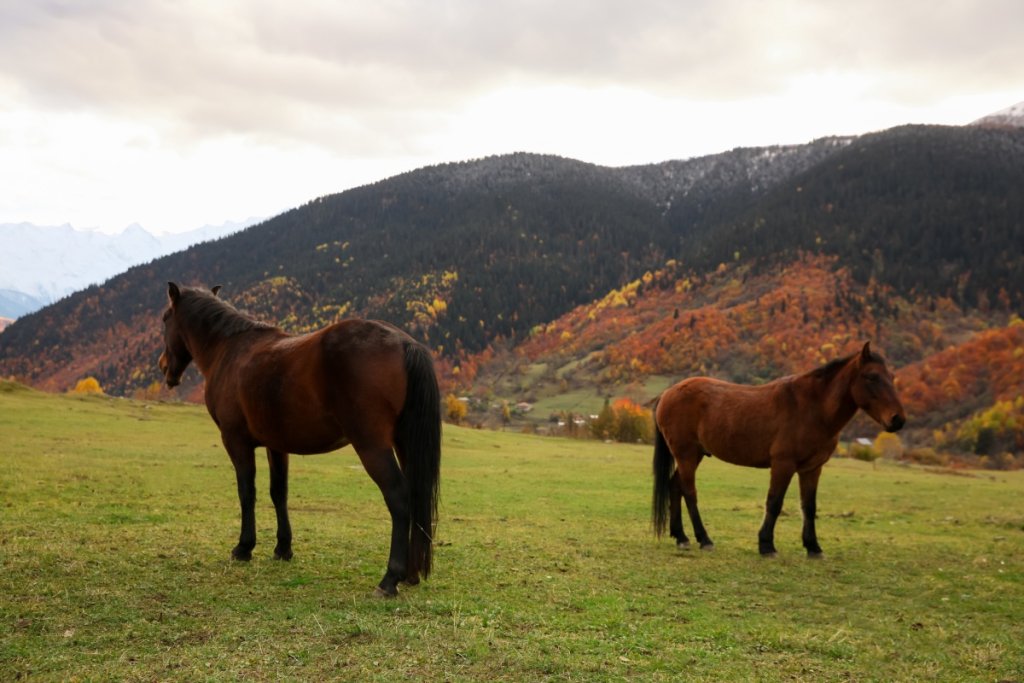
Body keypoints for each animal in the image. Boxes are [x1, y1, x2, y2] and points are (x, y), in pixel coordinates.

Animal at [158, 282, 441, 596]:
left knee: (399, 496)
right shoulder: (276, 446)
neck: (230, 349)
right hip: (403, 444)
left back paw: (390, 578)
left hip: (372, 446)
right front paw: (283, 548)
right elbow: (278, 492)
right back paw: (411, 574)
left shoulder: (235, 441)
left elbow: (247, 492)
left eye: (165, 319)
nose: (163, 367)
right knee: (415, 495)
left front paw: (244, 547)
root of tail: (404, 343)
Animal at [652, 342, 905, 557]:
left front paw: (813, 547)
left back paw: (681, 536)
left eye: (892, 377)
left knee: (675, 486)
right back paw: (704, 539)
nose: (898, 419)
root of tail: (668, 393)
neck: (812, 408)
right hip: (686, 455)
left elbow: (809, 506)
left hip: (693, 456)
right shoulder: (783, 464)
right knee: (689, 492)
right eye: (871, 377)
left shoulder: (812, 469)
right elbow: (774, 502)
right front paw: (766, 545)